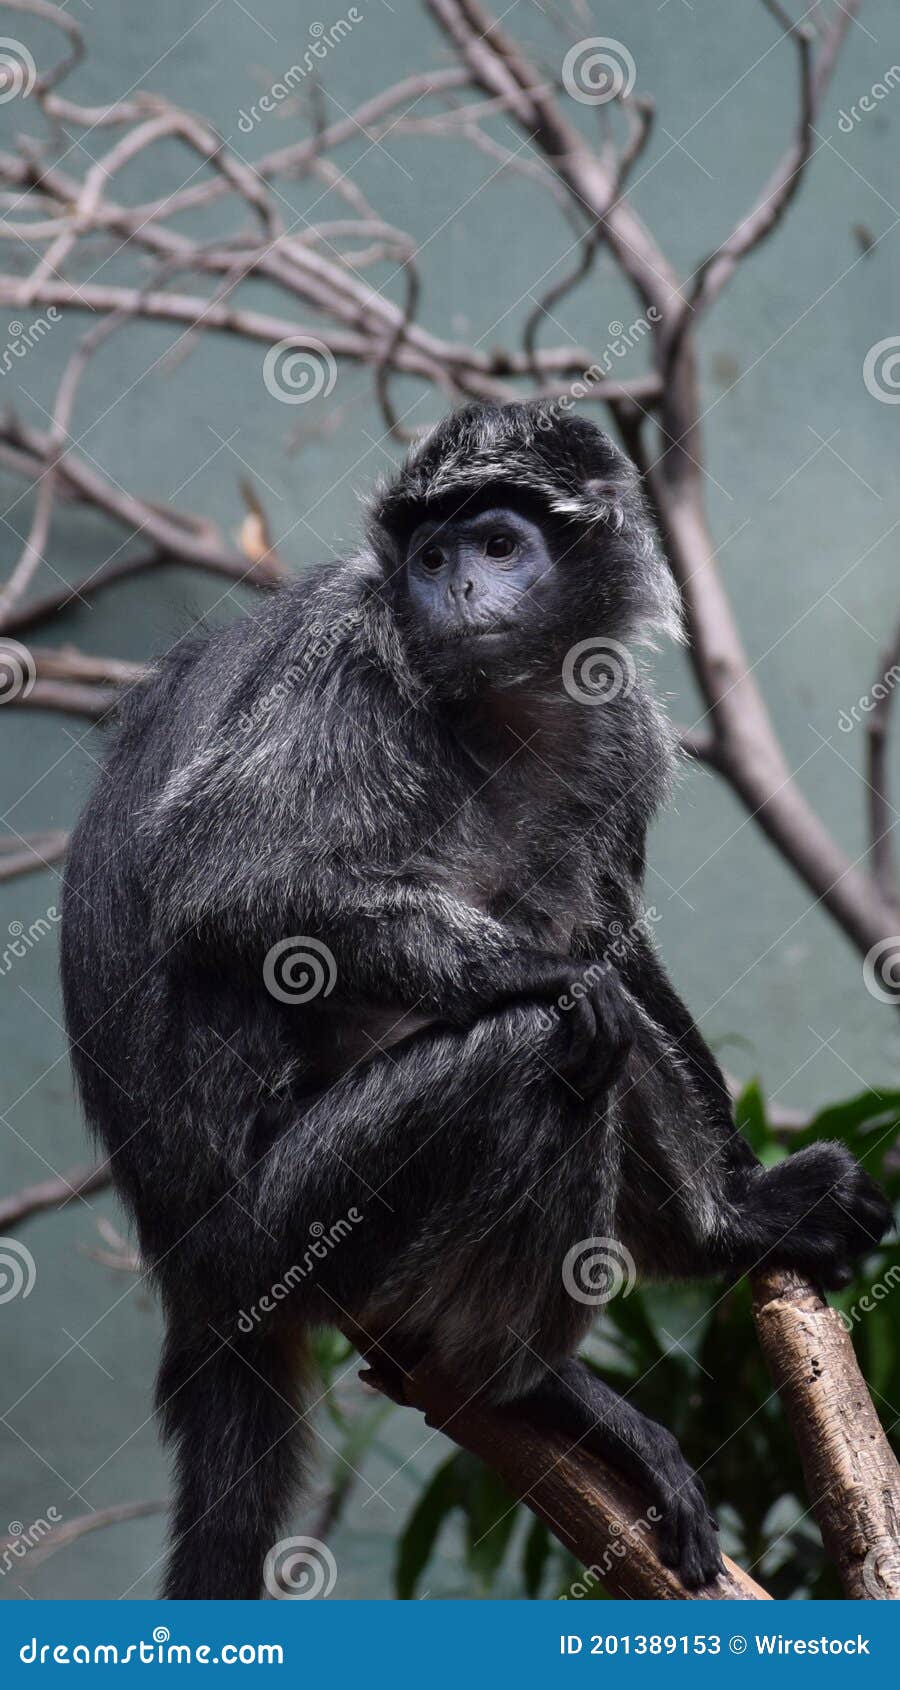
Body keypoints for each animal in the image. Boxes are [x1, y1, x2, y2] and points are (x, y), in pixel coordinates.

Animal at [60, 400, 891, 1600]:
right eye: (429, 555)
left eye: (498, 545)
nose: (452, 585)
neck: (500, 704)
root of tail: (187, 1271)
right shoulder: (349, 669)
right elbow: (223, 884)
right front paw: (543, 976)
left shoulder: (614, 720)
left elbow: (616, 944)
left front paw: (743, 1208)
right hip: (285, 1229)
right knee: (543, 1049)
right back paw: (526, 1384)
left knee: (607, 1038)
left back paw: (717, 1229)